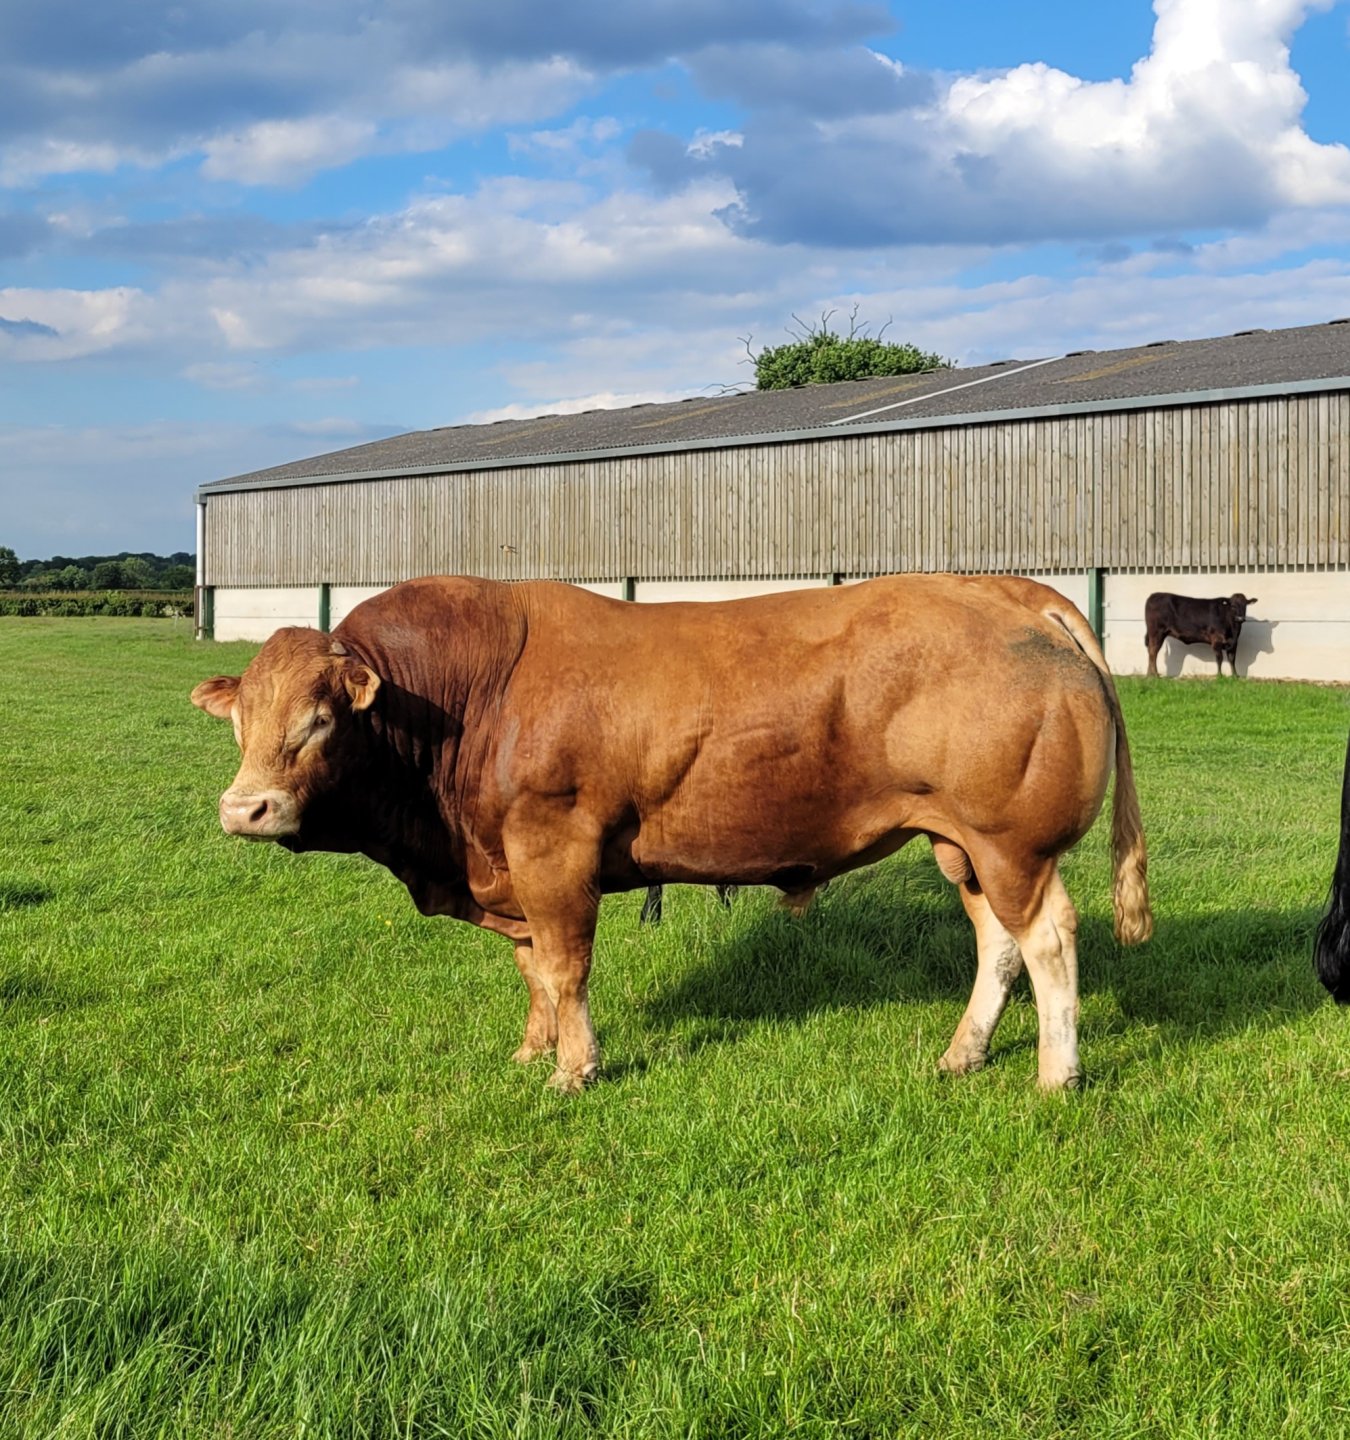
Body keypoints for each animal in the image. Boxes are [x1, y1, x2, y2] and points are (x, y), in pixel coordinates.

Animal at [191, 573, 1152, 1094]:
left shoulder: (553, 849)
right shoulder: (508, 868)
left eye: (318, 721)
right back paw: (963, 1054)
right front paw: (532, 1048)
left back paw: (1056, 1074)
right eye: (239, 721)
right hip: (962, 845)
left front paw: (573, 1068)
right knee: (997, 943)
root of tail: (1002, 590)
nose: (245, 810)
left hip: (1012, 843)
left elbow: (565, 967)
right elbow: (532, 968)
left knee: (1049, 940)